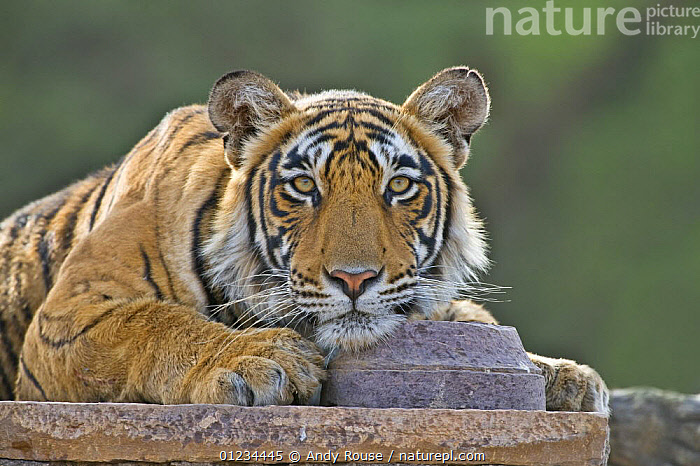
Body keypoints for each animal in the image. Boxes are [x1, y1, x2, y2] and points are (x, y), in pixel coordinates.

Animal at [0, 67, 608, 412]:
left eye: (399, 186)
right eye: (303, 186)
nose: (354, 279)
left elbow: (472, 324)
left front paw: (560, 376)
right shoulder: (66, 317)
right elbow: (152, 323)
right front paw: (255, 359)